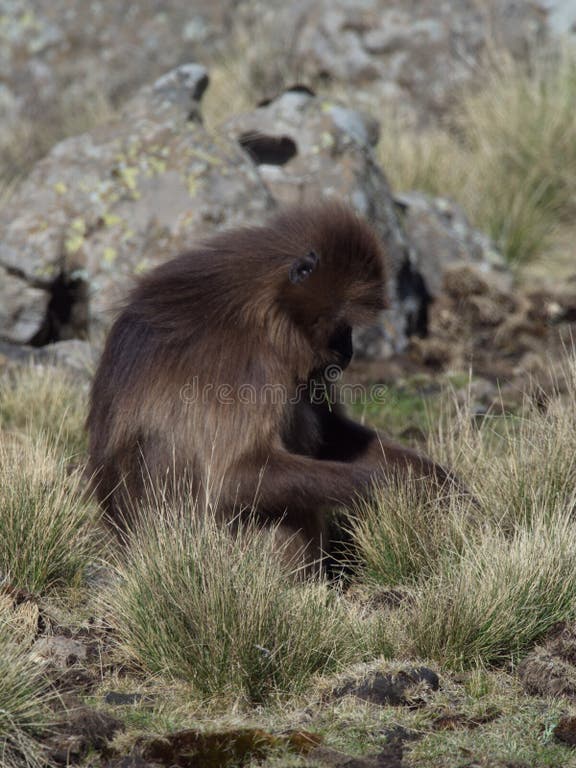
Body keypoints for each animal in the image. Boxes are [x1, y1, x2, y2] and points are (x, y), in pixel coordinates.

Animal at [87, 201, 457, 572]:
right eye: (341, 325)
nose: (348, 352)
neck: (265, 310)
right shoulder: (245, 366)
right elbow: (234, 478)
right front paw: (394, 487)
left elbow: (329, 430)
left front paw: (437, 483)